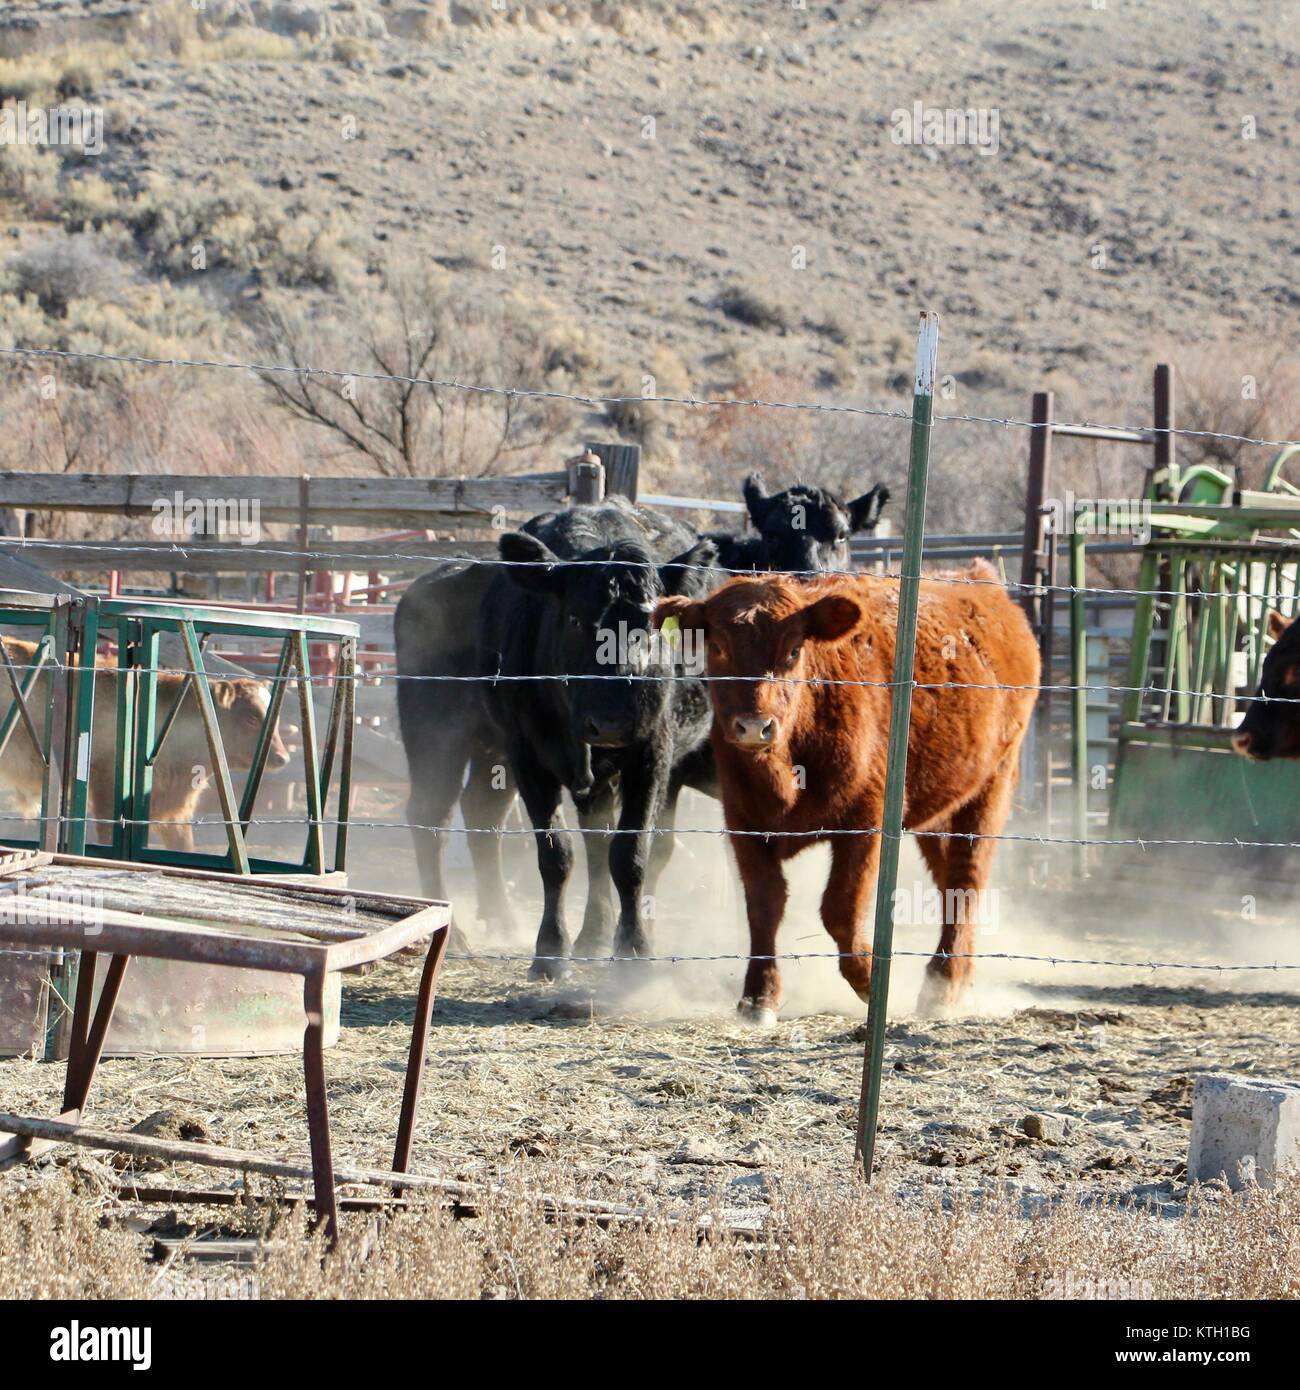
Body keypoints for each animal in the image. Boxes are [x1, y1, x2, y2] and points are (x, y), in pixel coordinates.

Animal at [394, 473, 891, 928]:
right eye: (772, 533)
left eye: (841, 535)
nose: (807, 588)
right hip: (437, 735)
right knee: (432, 815)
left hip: (495, 750)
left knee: (484, 812)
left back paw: (503, 920)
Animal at [479, 499, 719, 976]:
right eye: (574, 618)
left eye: (650, 625)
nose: (610, 724)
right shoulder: (525, 754)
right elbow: (557, 855)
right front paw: (551, 949)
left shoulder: (653, 750)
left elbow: (631, 856)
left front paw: (635, 951)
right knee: (594, 844)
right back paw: (592, 933)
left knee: (625, 848)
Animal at [652, 559, 1039, 1021]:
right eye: (719, 647)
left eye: (793, 650)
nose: (754, 727)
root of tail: (979, 580)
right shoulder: (743, 820)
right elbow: (764, 906)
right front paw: (759, 996)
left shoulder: (865, 822)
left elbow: (840, 909)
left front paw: (873, 983)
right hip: (937, 805)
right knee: (949, 879)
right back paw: (956, 977)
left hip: (993, 783)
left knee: (968, 877)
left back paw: (943, 985)